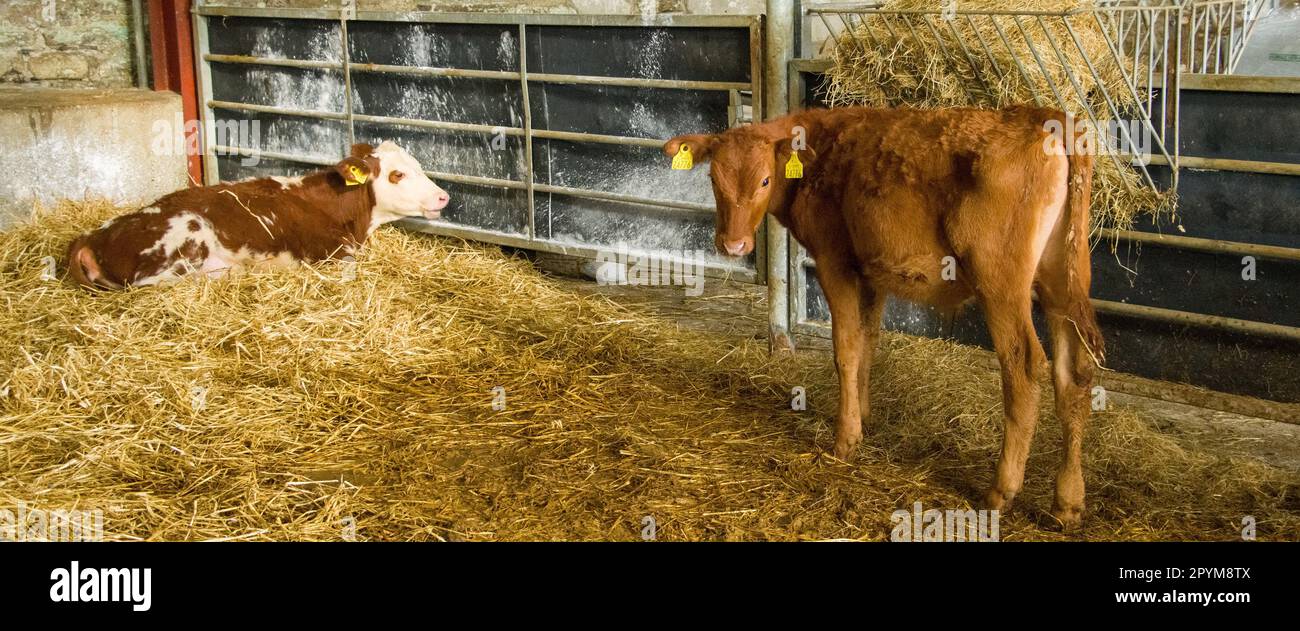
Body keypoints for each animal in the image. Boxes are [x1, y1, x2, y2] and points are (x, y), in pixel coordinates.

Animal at [665, 105, 1105, 528]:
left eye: (764, 181)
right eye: (713, 179)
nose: (733, 245)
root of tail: (1042, 115)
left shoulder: (834, 261)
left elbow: (845, 349)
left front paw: (845, 439)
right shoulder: (870, 271)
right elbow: (867, 342)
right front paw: (862, 417)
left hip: (1000, 283)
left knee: (1025, 368)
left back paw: (1001, 490)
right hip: (1063, 282)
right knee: (1074, 375)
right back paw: (1067, 502)